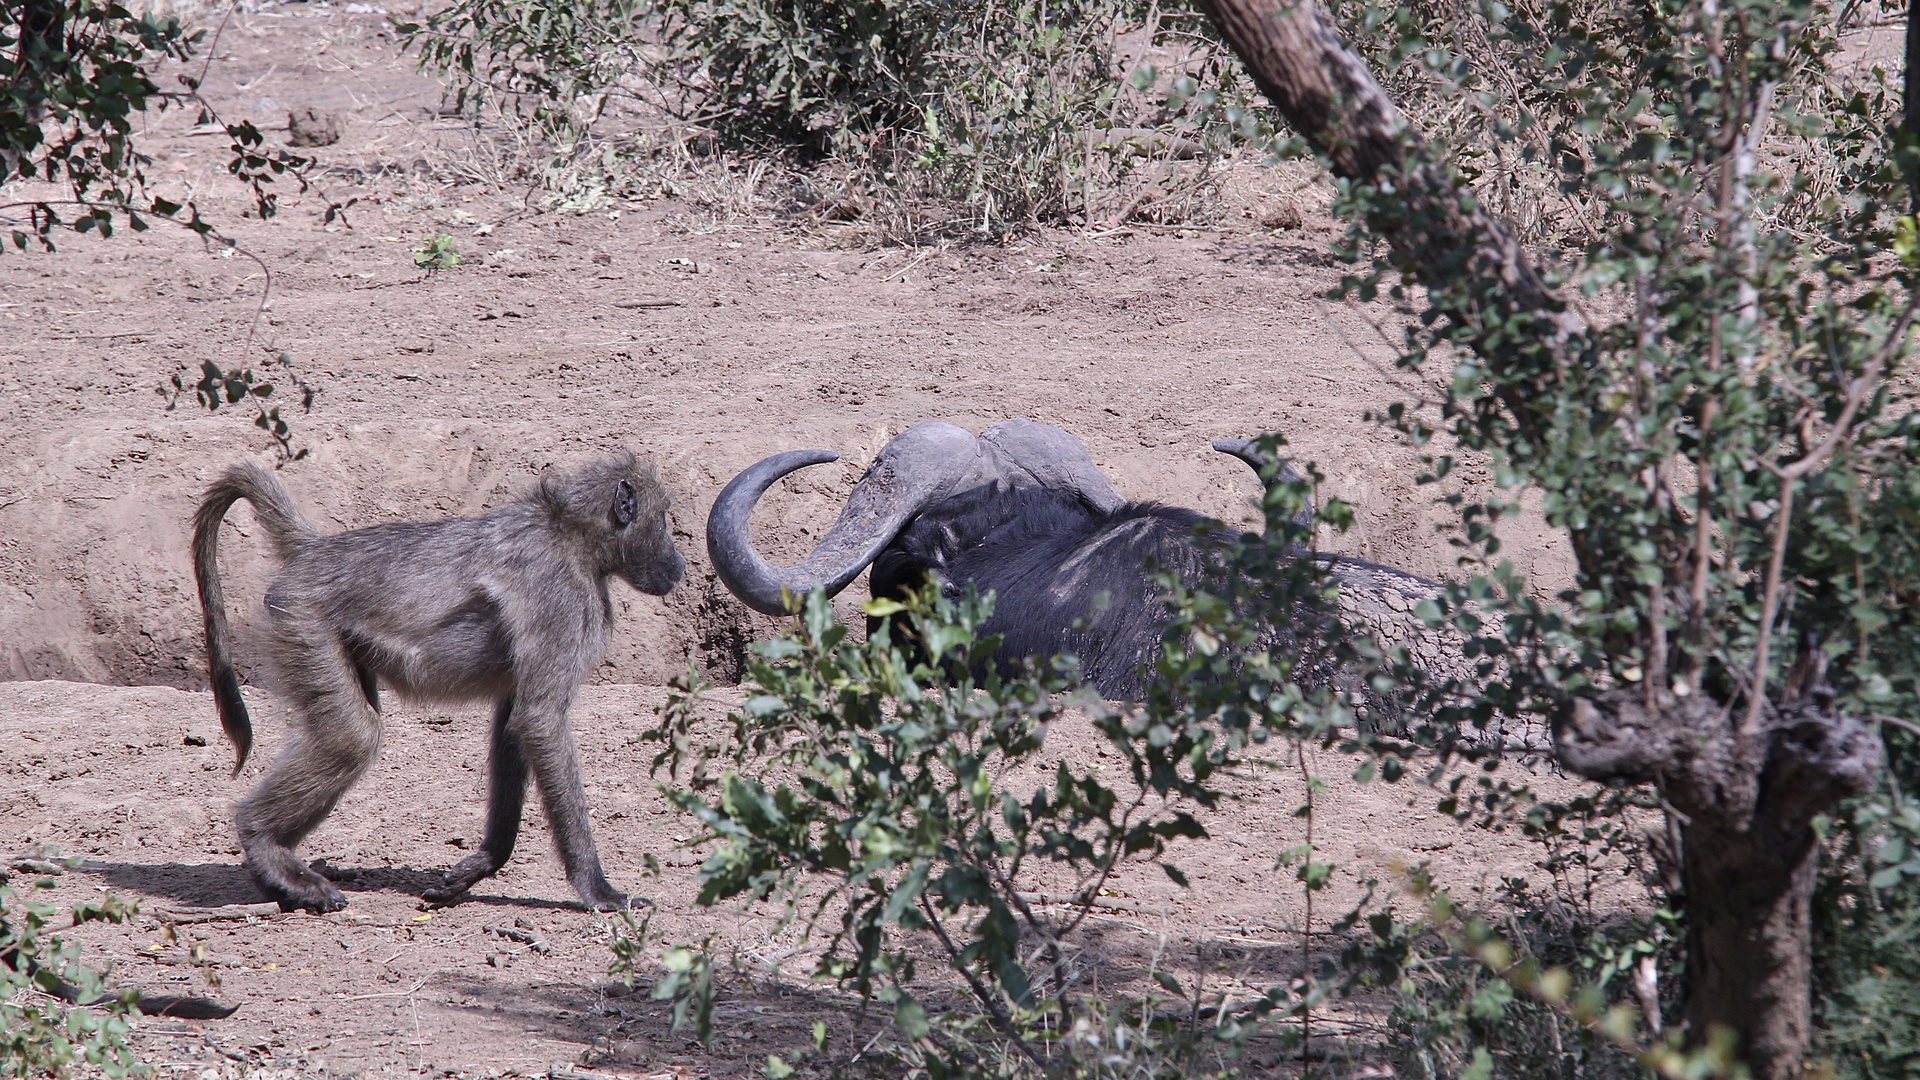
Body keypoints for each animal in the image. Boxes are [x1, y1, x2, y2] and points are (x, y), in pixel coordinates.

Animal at [192, 452, 685, 914]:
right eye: (663, 519)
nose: (679, 563)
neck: (572, 533)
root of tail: (318, 548)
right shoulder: (563, 600)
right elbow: (541, 720)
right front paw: (598, 890)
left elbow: (514, 724)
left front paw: (479, 865)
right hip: (301, 617)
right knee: (354, 736)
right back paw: (265, 845)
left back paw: (280, 874)